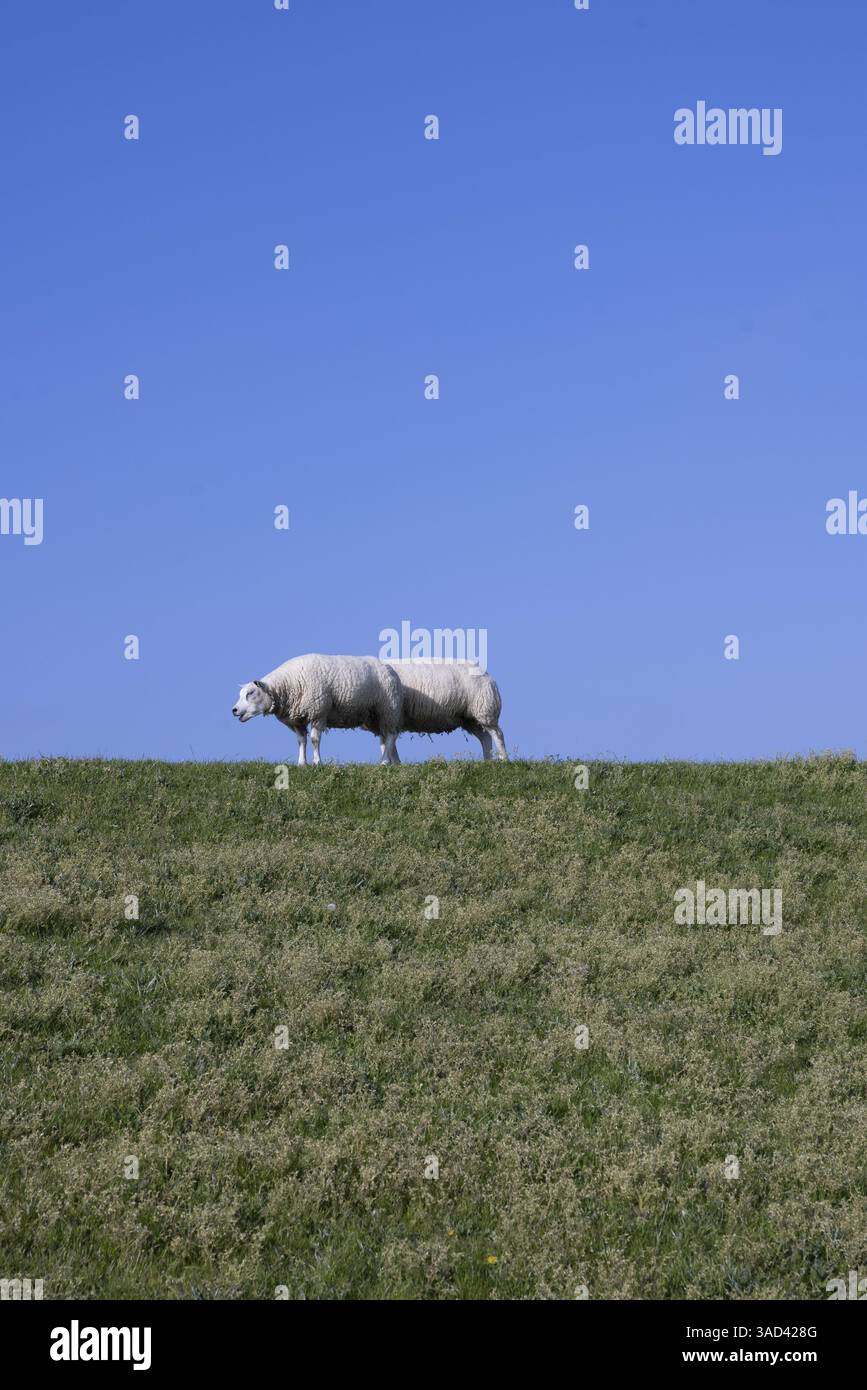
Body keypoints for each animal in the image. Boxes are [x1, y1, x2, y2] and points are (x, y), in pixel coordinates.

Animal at [232, 654, 402, 766]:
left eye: (250, 693)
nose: (234, 710)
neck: (288, 684)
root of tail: (389, 668)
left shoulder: (318, 713)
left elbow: (314, 739)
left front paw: (317, 762)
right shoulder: (297, 720)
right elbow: (301, 740)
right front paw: (302, 763)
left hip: (388, 709)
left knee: (390, 736)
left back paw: (384, 762)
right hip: (373, 716)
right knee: (386, 736)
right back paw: (393, 762)